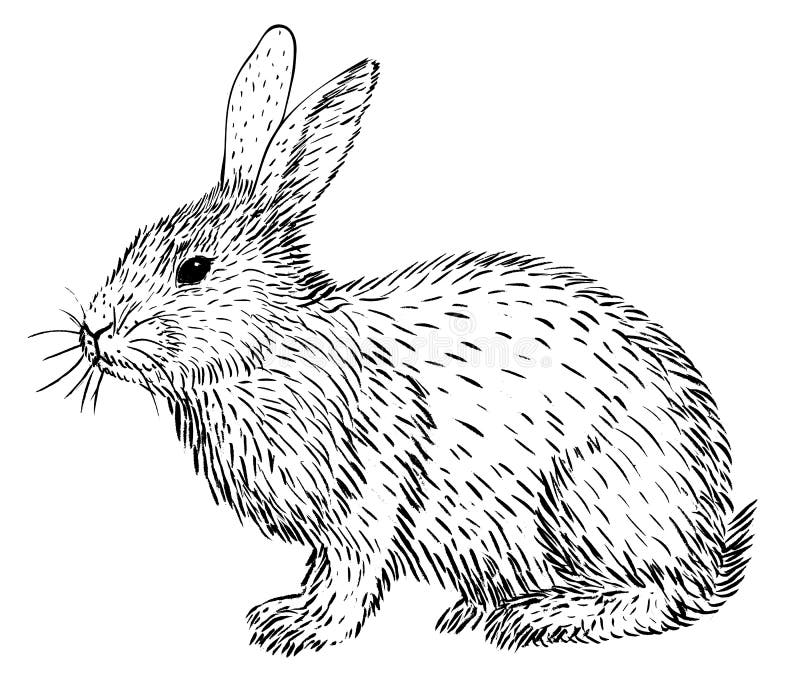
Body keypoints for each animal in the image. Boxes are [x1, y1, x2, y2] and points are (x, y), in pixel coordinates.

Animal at [35, 24, 755, 655]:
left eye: (193, 269)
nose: (93, 330)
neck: (269, 350)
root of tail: (713, 531)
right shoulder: (331, 528)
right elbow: (324, 570)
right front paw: (283, 613)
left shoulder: (371, 498)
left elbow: (351, 577)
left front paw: (302, 633)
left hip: (598, 498)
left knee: (660, 595)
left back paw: (536, 617)